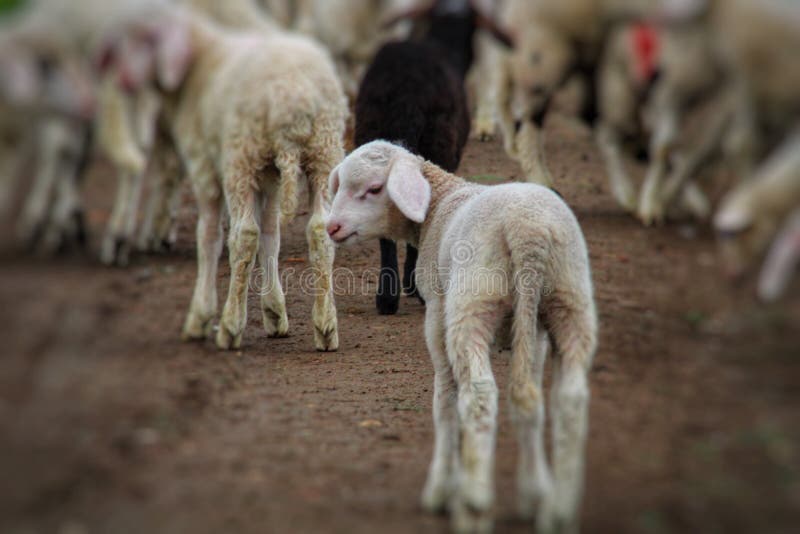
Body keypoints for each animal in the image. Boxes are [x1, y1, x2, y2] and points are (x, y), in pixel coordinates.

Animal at [100, 3, 347, 351]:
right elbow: (271, 235)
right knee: (319, 230)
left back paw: (230, 326)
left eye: (147, 39)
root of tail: (291, 99)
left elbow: (209, 237)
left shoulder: (203, 164)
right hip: (323, 151)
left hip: (239, 158)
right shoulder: (269, 175)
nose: (122, 79)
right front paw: (274, 312)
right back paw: (325, 327)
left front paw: (200, 317)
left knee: (243, 235)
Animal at [325, 140, 598, 534]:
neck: (439, 202)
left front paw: (442, 488)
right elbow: (529, 406)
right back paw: (558, 509)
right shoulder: (536, 336)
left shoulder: (437, 315)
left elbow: (445, 400)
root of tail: (527, 233)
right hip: (568, 299)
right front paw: (534, 490)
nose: (332, 227)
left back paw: (474, 502)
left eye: (374, 189)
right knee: (569, 399)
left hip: (471, 304)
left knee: (480, 395)